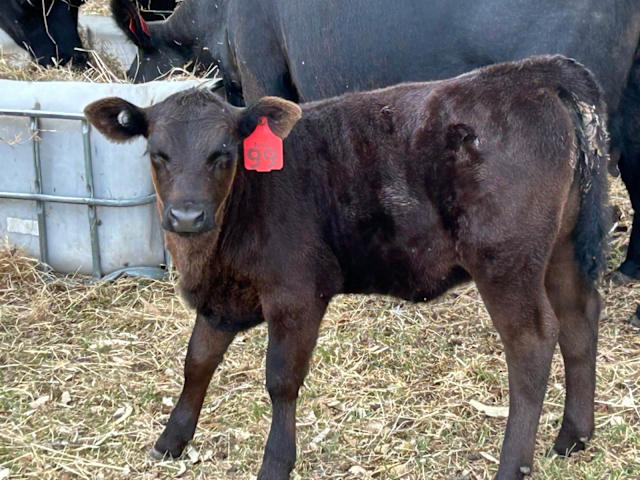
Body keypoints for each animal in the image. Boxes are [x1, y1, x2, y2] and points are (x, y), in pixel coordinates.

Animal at [84, 56, 609, 480]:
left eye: (223, 153)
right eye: (157, 154)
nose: (187, 215)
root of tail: (536, 73)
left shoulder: (297, 295)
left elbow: (280, 379)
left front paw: (276, 463)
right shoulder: (221, 299)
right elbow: (197, 361)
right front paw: (170, 441)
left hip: (505, 261)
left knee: (533, 342)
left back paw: (513, 464)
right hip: (562, 249)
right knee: (579, 319)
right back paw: (574, 437)